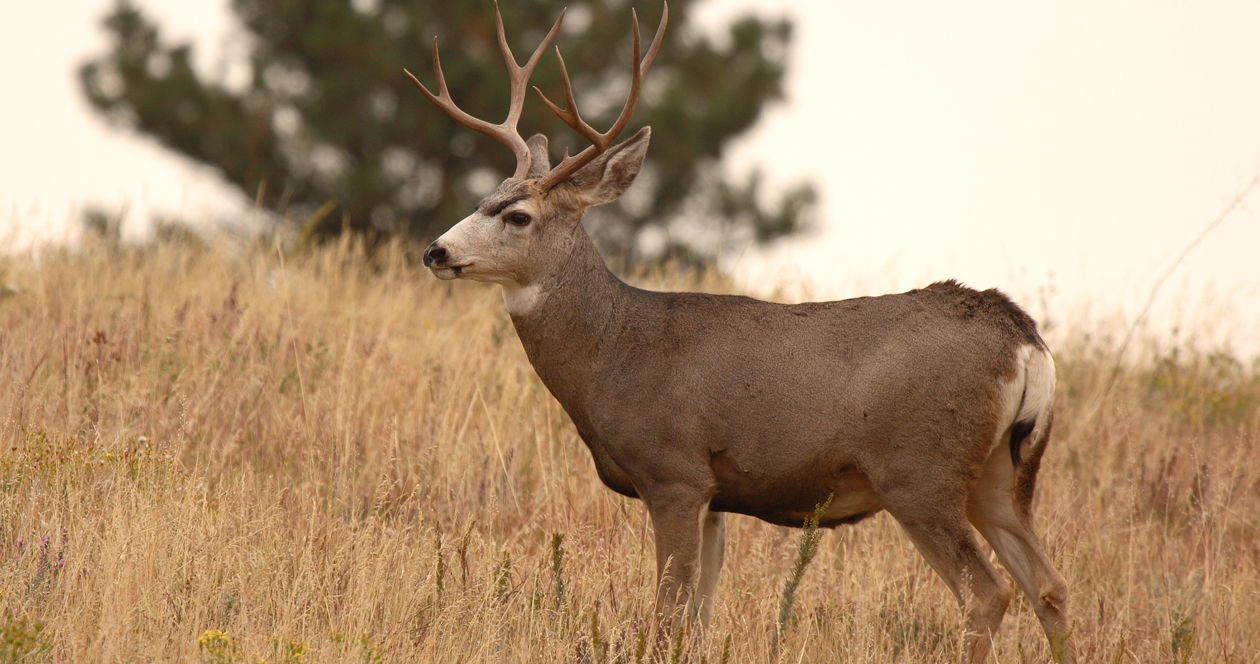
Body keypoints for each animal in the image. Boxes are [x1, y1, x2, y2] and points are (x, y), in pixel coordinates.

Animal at [405, 3, 1075, 662]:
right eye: (484, 197)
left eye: (518, 216)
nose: (435, 251)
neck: (613, 351)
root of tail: (1023, 338)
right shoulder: (715, 495)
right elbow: (697, 620)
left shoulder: (673, 470)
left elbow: (667, 616)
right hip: (1001, 473)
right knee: (1050, 586)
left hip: (920, 472)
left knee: (987, 593)